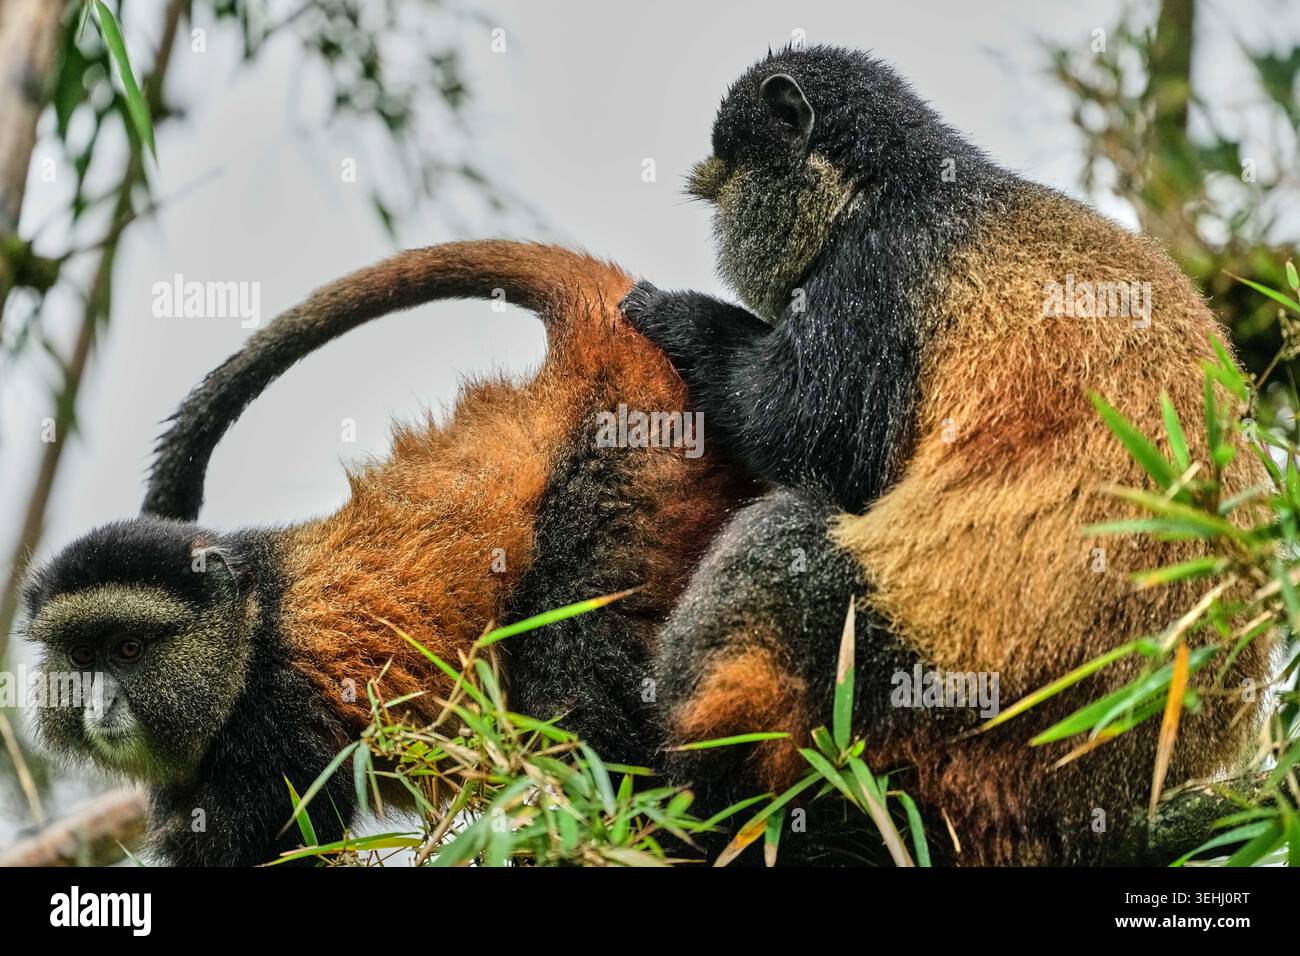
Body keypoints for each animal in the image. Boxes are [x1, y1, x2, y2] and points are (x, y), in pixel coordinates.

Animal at [21, 241, 750, 866]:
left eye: (128, 650)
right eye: (82, 657)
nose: (99, 707)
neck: (250, 631)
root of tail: (584, 357)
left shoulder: (279, 735)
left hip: (633, 456)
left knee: (572, 674)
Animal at [621, 46, 1274, 864]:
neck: (891, 184)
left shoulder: (874, 276)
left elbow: (799, 431)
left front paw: (676, 314)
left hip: (928, 696)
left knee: (787, 549)